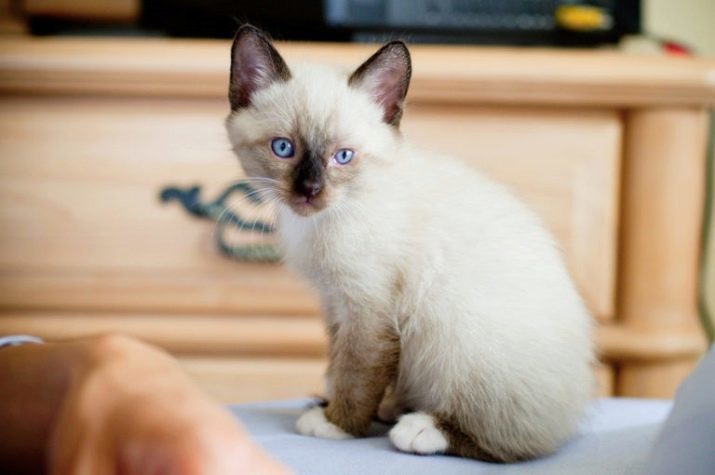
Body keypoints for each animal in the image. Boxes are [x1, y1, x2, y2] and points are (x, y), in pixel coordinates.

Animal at [224, 25, 592, 462]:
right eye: (284, 148)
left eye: (343, 156)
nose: (310, 191)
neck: (322, 222)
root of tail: (579, 406)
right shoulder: (336, 304)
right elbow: (337, 364)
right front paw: (332, 406)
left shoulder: (369, 310)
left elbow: (355, 372)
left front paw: (337, 424)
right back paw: (392, 409)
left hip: (454, 336)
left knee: (517, 441)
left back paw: (420, 429)